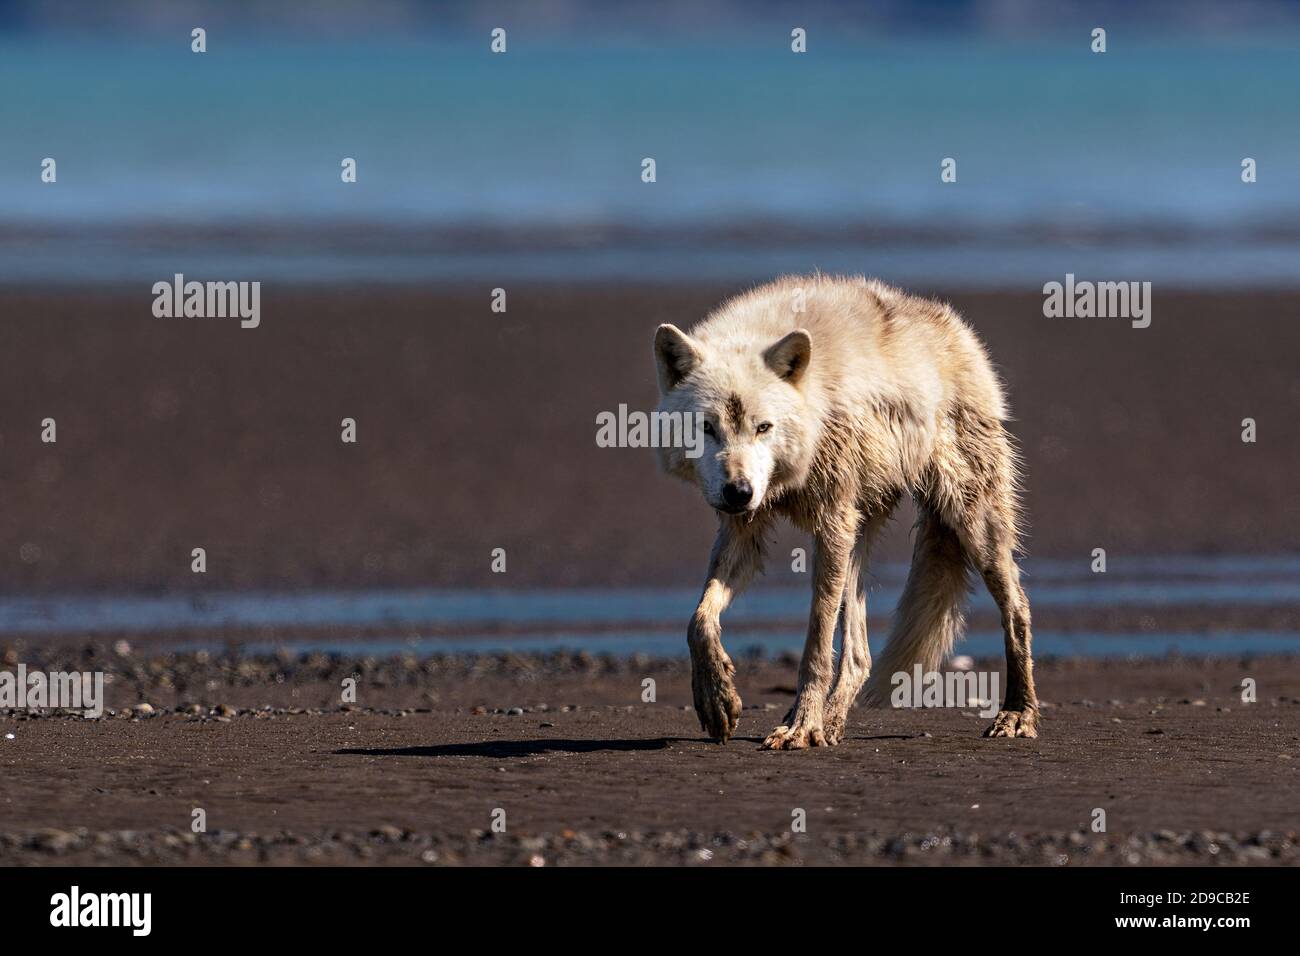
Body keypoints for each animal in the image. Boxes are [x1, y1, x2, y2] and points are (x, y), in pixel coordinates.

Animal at [653, 274, 1038, 749]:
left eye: (764, 427)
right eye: (706, 428)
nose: (739, 492)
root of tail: (957, 328)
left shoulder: (832, 524)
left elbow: (816, 647)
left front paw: (801, 726)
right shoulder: (746, 532)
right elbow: (699, 620)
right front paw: (717, 699)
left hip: (969, 522)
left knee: (1018, 609)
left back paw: (1017, 713)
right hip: (861, 533)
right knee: (859, 657)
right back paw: (832, 723)